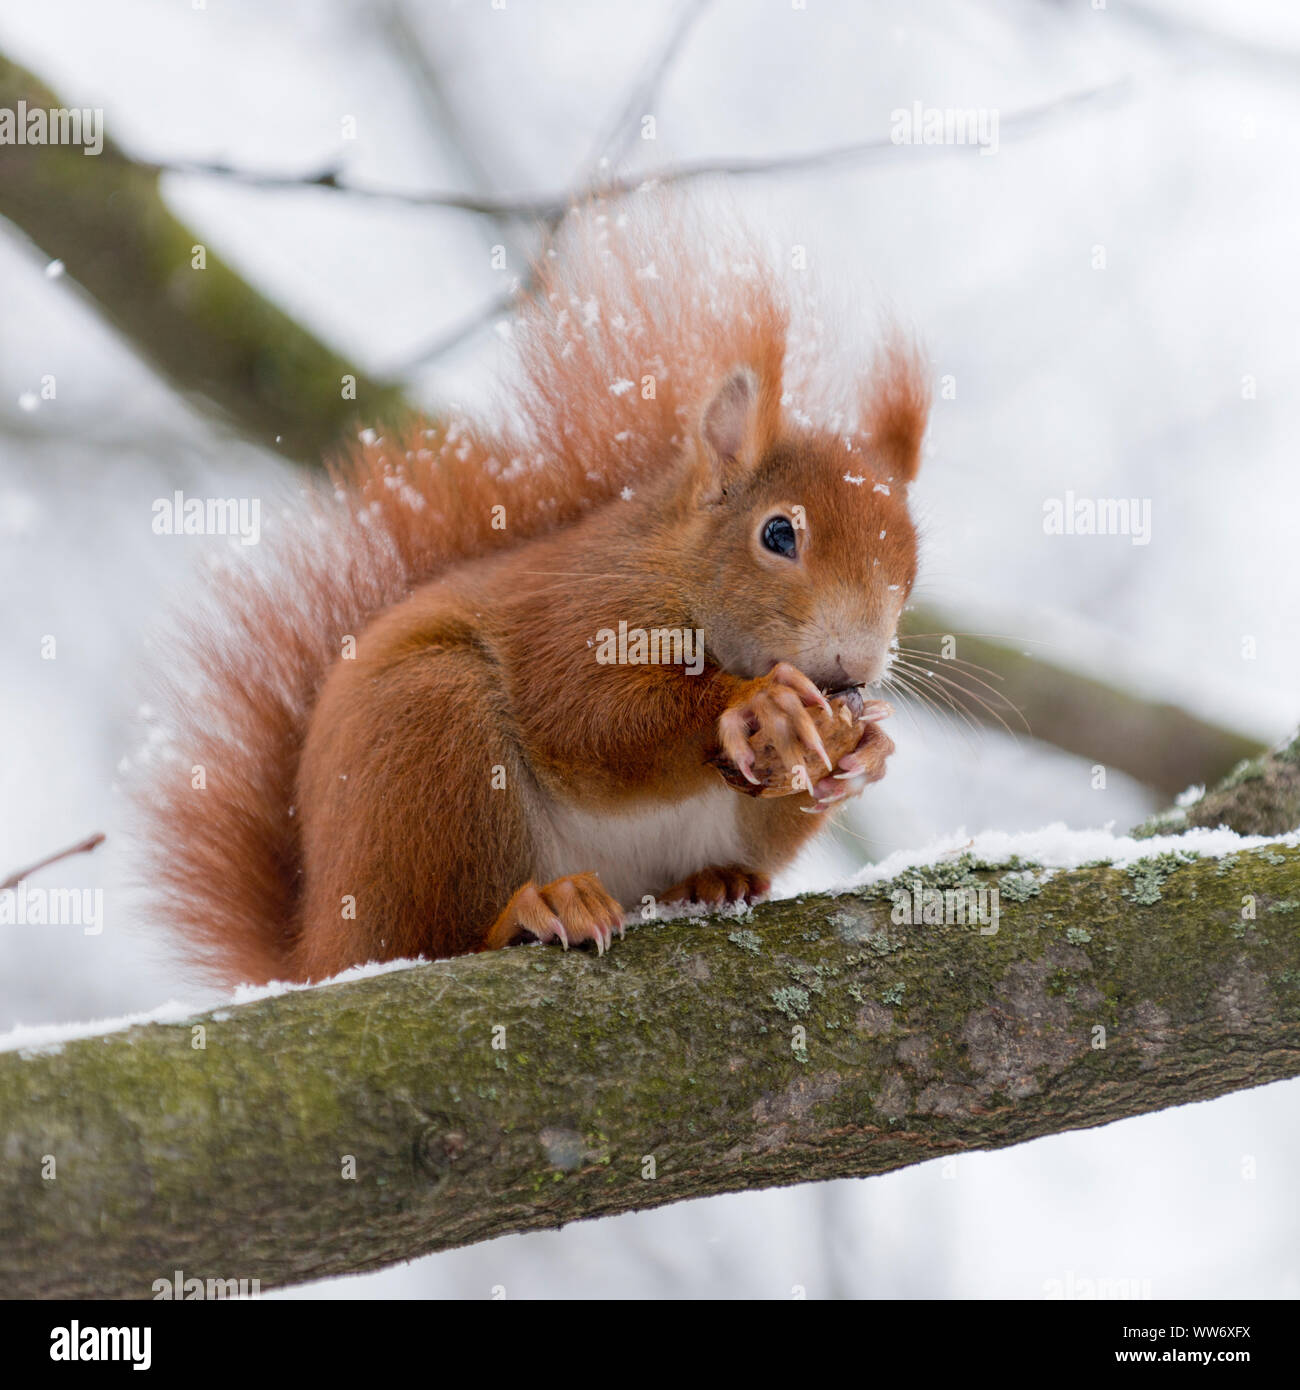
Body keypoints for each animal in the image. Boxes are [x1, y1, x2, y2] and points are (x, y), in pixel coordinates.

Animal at [140, 204, 929, 985]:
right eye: (778, 534)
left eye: (913, 566)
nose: (856, 666)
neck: (677, 573)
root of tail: (315, 954)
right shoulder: (576, 614)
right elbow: (589, 721)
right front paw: (755, 703)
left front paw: (870, 748)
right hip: (430, 736)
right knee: (437, 935)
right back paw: (536, 910)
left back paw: (713, 881)